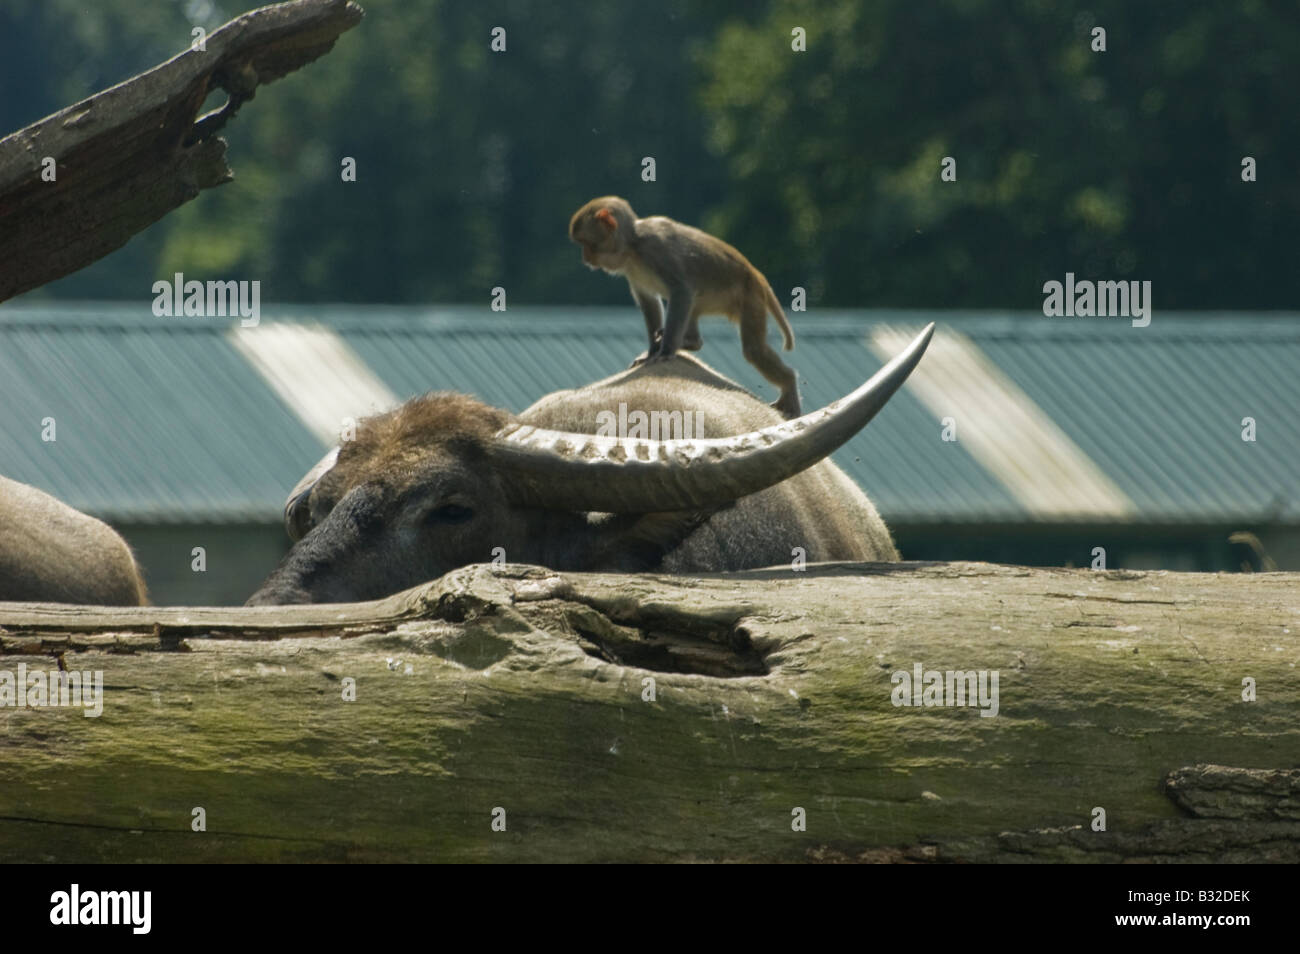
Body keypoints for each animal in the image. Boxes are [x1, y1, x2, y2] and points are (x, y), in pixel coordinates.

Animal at [569, 196, 801, 418]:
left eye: (587, 243)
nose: (585, 258)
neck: (633, 246)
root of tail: (754, 274)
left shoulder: (655, 249)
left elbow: (680, 290)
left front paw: (665, 351)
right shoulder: (630, 269)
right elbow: (649, 301)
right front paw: (652, 352)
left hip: (749, 298)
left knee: (753, 349)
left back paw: (789, 386)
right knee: (693, 306)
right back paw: (691, 342)